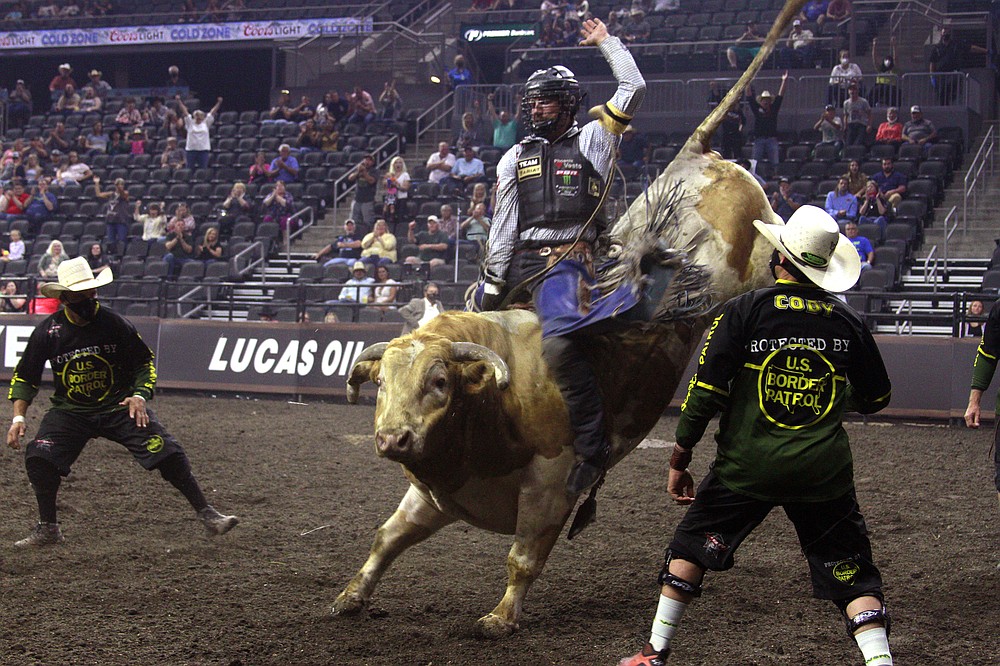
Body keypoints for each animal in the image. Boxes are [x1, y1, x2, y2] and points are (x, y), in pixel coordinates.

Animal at [336, 0, 808, 638]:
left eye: (438, 382)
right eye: (382, 382)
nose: (392, 438)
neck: (495, 396)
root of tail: (693, 154)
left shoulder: (550, 487)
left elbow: (522, 556)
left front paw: (501, 618)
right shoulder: (436, 496)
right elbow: (386, 538)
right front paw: (351, 597)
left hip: (758, 256)